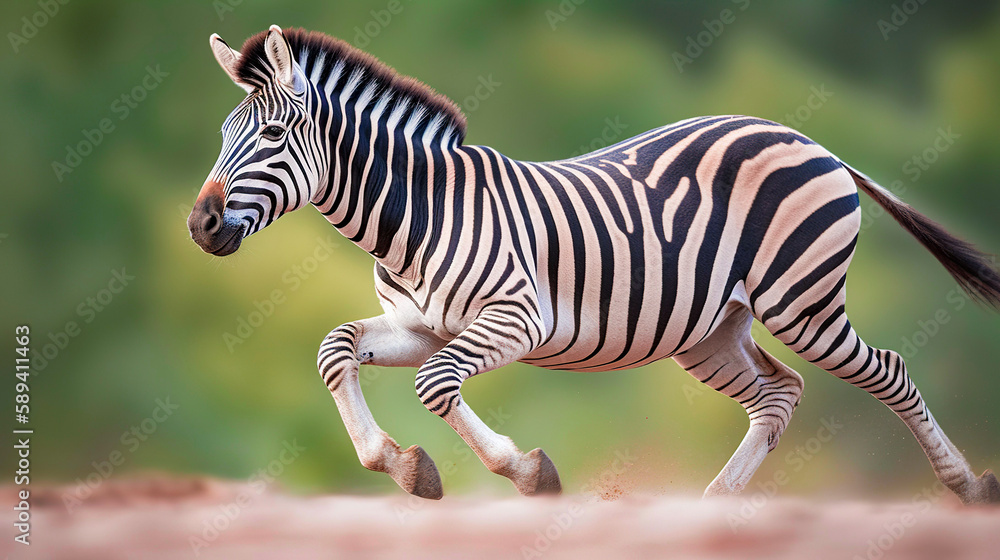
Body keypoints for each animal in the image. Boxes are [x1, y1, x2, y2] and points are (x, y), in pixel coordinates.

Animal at [188, 26, 1000, 503]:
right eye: (223, 132)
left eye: (269, 135)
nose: (199, 226)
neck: (419, 215)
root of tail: (804, 136)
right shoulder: (420, 326)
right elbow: (336, 351)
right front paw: (398, 462)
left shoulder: (516, 316)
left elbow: (437, 384)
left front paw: (524, 471)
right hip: (711, 329)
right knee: (779, 394)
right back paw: (713, 511)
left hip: (800, 303)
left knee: (889, 372)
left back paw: (965, 485)